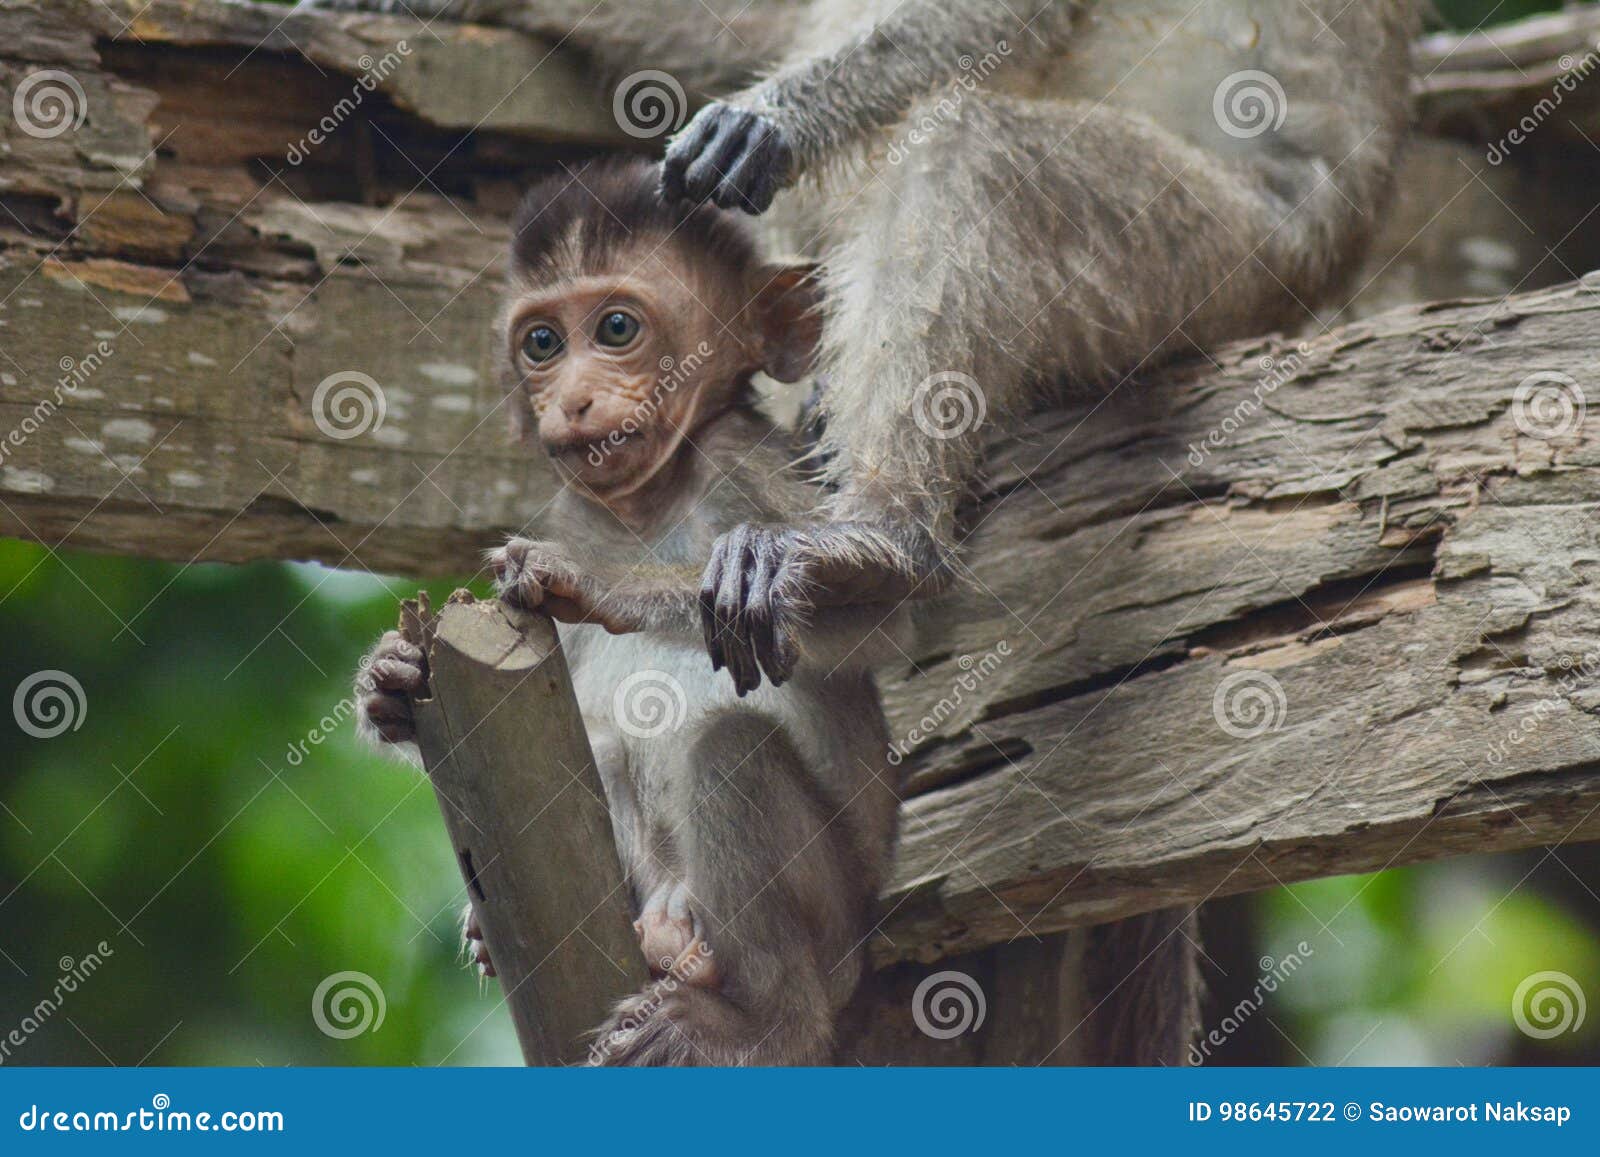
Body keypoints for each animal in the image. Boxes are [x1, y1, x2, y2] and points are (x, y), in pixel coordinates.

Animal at [357, 158, 910, 1065]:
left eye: (617, 327)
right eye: (543, 343)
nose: (575, 397)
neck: (645, 511)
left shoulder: (749, 459)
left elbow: (888, 607)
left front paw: (607, 583)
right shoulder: (573, 507)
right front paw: (390, 683)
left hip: (837, 933)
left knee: (731, 755)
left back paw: (760, 1023)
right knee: (608, 740)